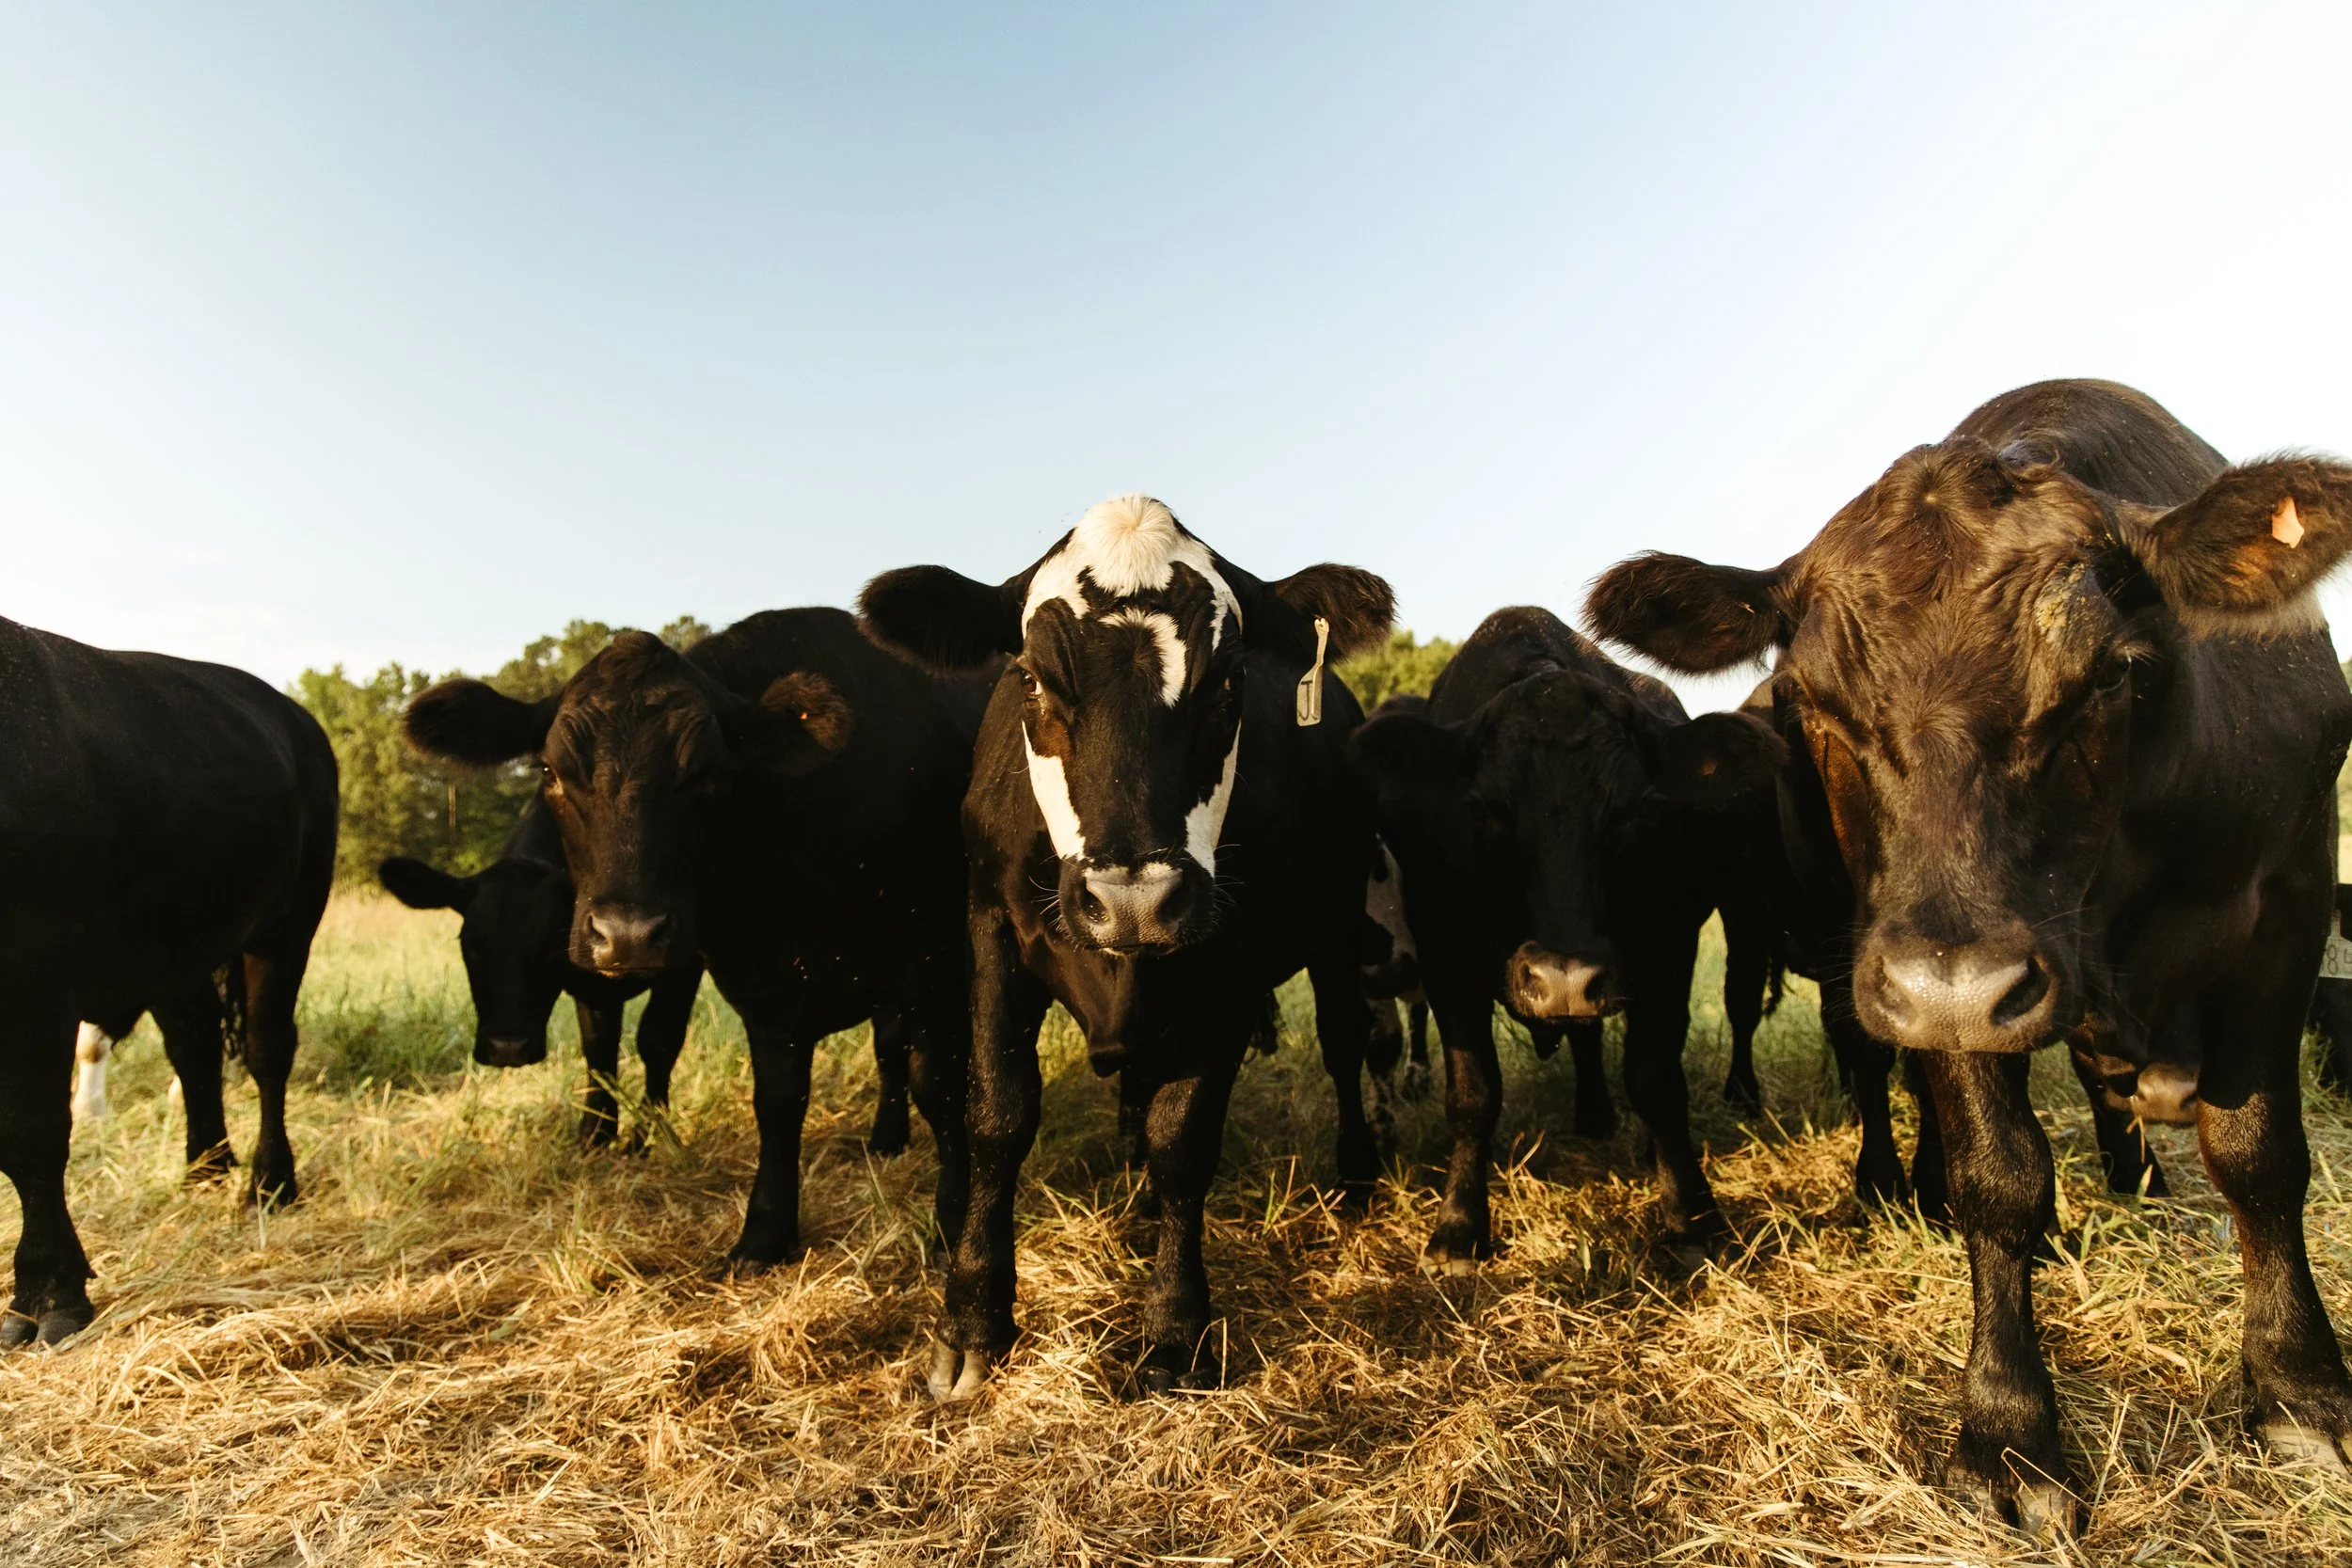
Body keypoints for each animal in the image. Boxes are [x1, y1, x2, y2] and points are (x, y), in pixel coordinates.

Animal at [0, 618, 337, 1346]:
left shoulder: (34, 980)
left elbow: (30, 1133)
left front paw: (47, 1290)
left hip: (286, 923)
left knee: (267, 1050)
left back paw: (270, 1181)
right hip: (177, 949)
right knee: (195, 1048)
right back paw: (206, 1165)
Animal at [399, 610, 978, 1276]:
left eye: (711, 774)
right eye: (550, 772)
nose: (626, 933)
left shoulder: (934, 962)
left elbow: (939, 1087)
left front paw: (955, 1228)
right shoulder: (759, 983)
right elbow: (775, 1102)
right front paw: (764, 1235)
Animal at [859, 493, 1394, 1397]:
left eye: (1229, 680)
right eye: (1032, 678)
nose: (1132, 899)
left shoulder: (1232, 958)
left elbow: (1184, 1138)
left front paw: (1175, 1328)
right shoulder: (988, 927)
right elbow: (998, 1111)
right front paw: (972, 1318)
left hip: (1338, 921)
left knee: (1343, 1039)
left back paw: (1356, 1173)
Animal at [1349, 607, 1785, 1269]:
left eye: (1637, 811)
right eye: (1483, 811)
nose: (1564, 979)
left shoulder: (1668, 950)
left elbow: (1657, 1081)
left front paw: (1692, 1217)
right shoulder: (1445, 960)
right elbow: (1472, 1094)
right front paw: (1458, 1225)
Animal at [1587, 378, 2352, 1529]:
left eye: (2113, 674)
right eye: (1816, 703)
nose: (1961, 983)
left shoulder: (2287, 906)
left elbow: (2259, 1154)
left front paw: (2301, 1386)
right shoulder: (1927, 975)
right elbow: (1999, 1174)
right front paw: (2007, 1428)